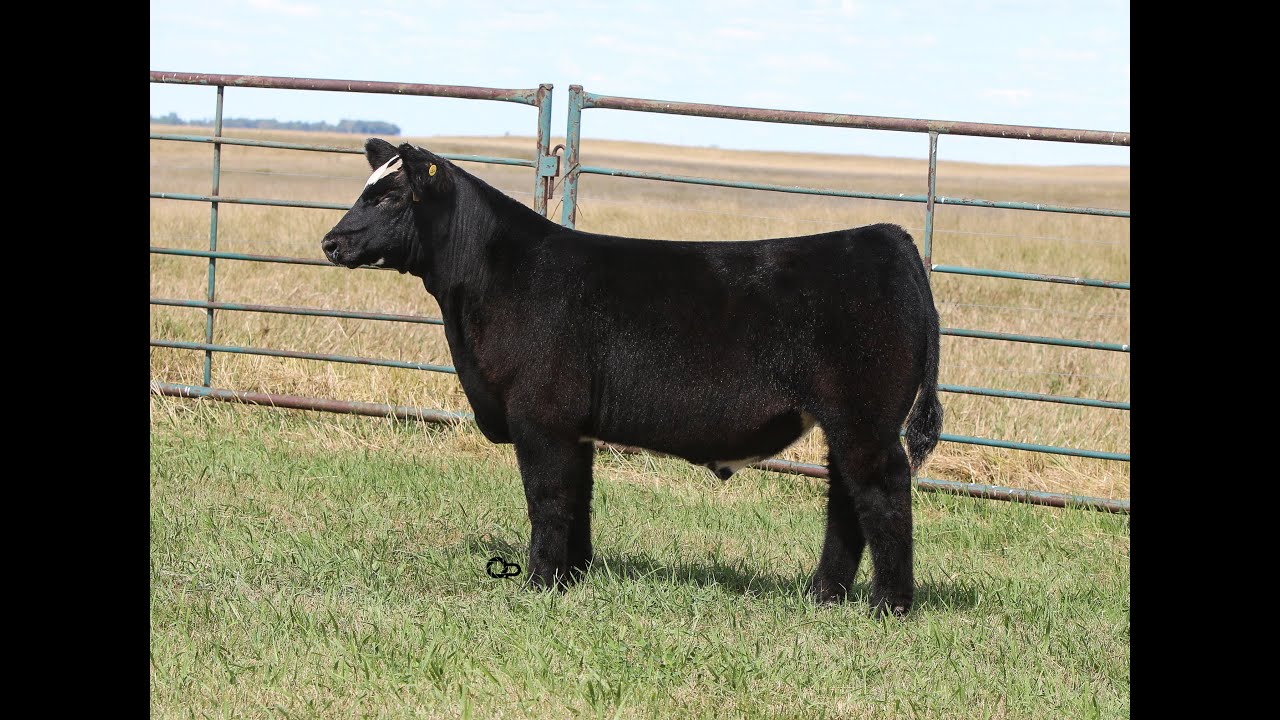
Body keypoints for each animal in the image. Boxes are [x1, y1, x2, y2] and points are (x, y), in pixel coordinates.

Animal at [321, 138, 943, 616]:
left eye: (390, 195)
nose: (331, 242)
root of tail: (885, 236)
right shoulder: (574, 426)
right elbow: (578, 499)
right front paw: (571, 577)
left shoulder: (540, 415)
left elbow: (547, 498)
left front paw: (538, 582)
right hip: (845, 421)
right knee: (847, 498)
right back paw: (823, 595)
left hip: (864, 417)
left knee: (883, 489)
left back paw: (889, 605)